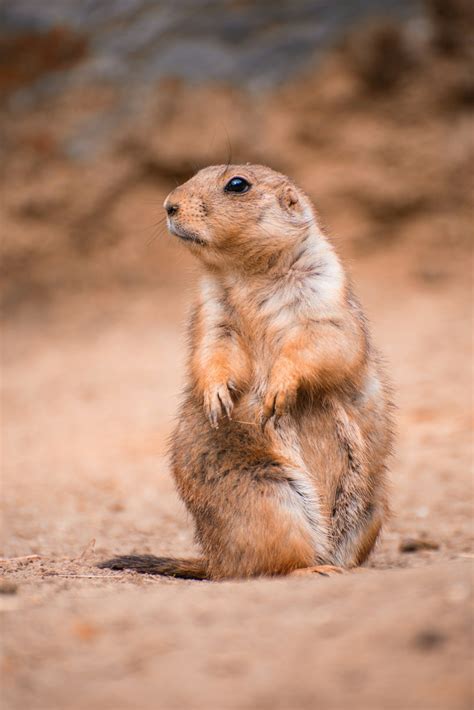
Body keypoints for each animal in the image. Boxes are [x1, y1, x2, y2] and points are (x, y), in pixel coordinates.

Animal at [99, 164, 393, 580]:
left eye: (237, 184)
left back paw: (344, 569)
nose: (169, 205)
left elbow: (325, 338)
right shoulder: (211, 308)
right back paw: (313, 569)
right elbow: (214, 349)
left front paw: (276, 389)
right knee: (262, 567)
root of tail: (214, 559)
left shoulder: (326, 291)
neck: (247, 272)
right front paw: (217, 398)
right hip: (269, 495)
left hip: (372, 506)